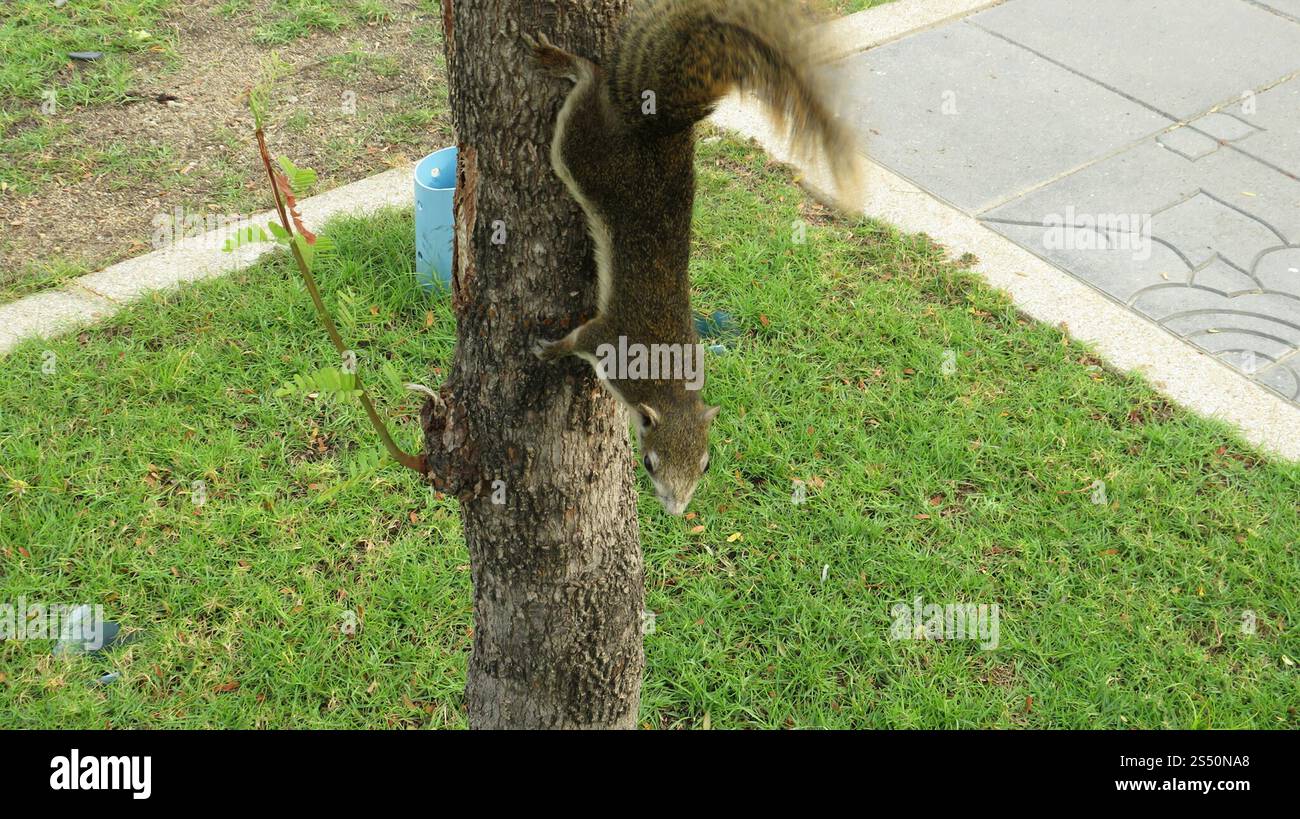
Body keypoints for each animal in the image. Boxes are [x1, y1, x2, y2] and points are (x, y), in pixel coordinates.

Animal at [527, 0, 860, 515]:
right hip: (584, 152)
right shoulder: (608, 340)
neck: (669, 387)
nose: (677, 510)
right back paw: (564, 61)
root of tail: (657, 127)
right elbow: (578, 338)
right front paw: (547, 350)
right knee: (588, 86)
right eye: (649, 464)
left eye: (706, 465)